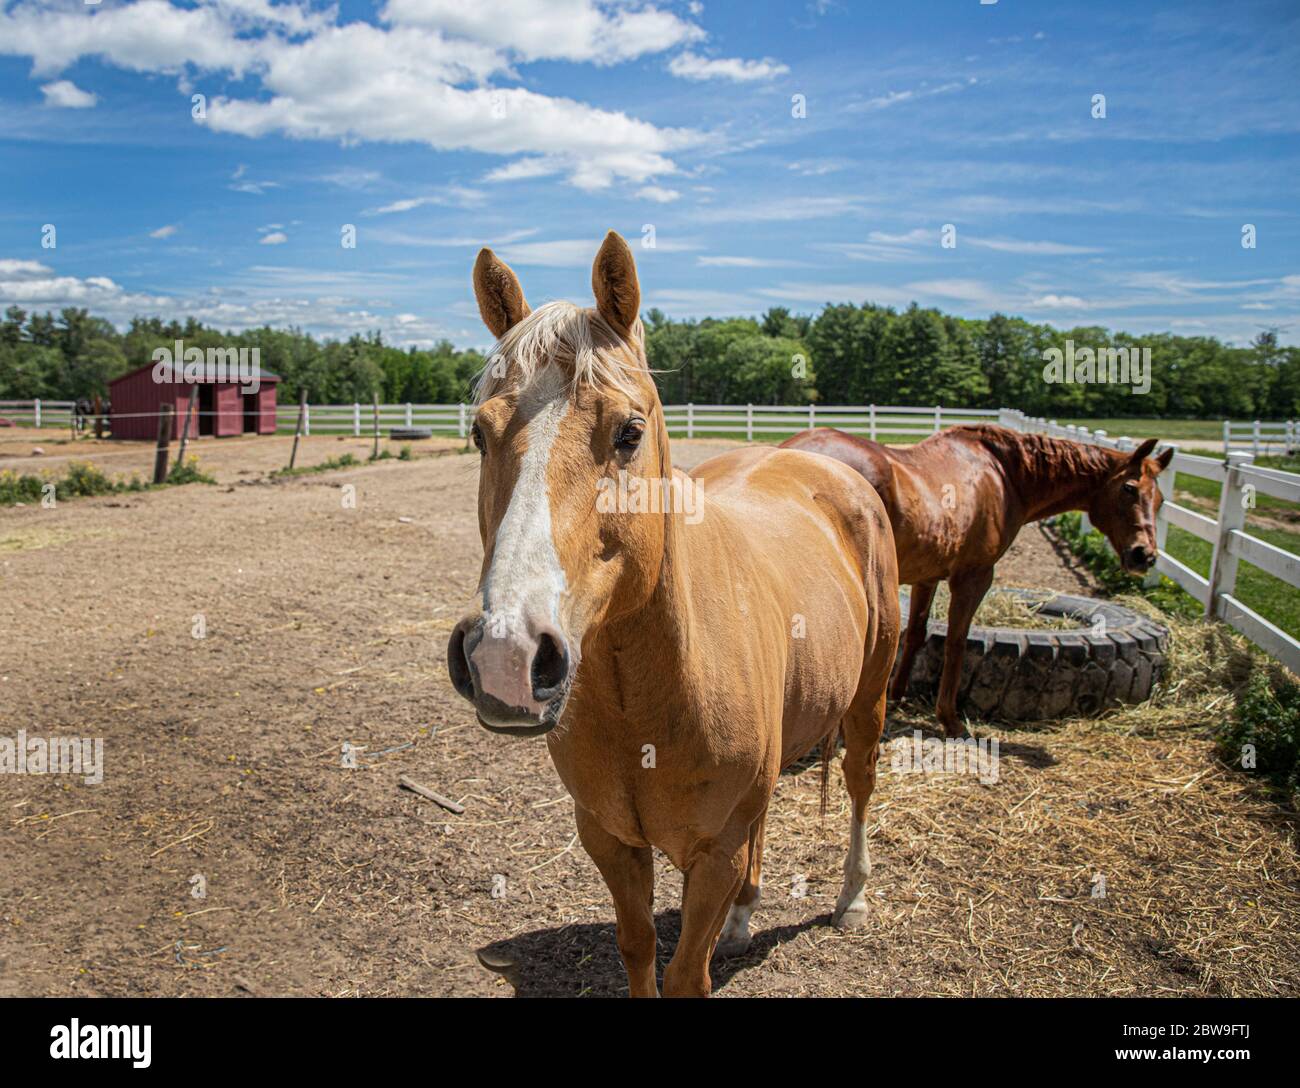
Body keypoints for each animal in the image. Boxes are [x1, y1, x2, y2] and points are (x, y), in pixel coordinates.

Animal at [447, 232, 901, 997]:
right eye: (480, 434)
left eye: (630, 432)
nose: (506, 655)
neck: (651, 700)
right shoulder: (610, 841)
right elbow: (636, 948)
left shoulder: (713, 855)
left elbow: (688, 974)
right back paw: (746, 921)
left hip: (869, 698)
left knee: (862, 782)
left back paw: (853, 899)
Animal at [781, 425, 1172, 738]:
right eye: (1129, 489)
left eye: (1161, 499)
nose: (1145, 555)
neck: (1003, 474)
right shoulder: (974, 576)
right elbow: (957, 642)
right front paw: (951, 719)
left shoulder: (928, 576)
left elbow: (918, 633)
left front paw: (898, 694)